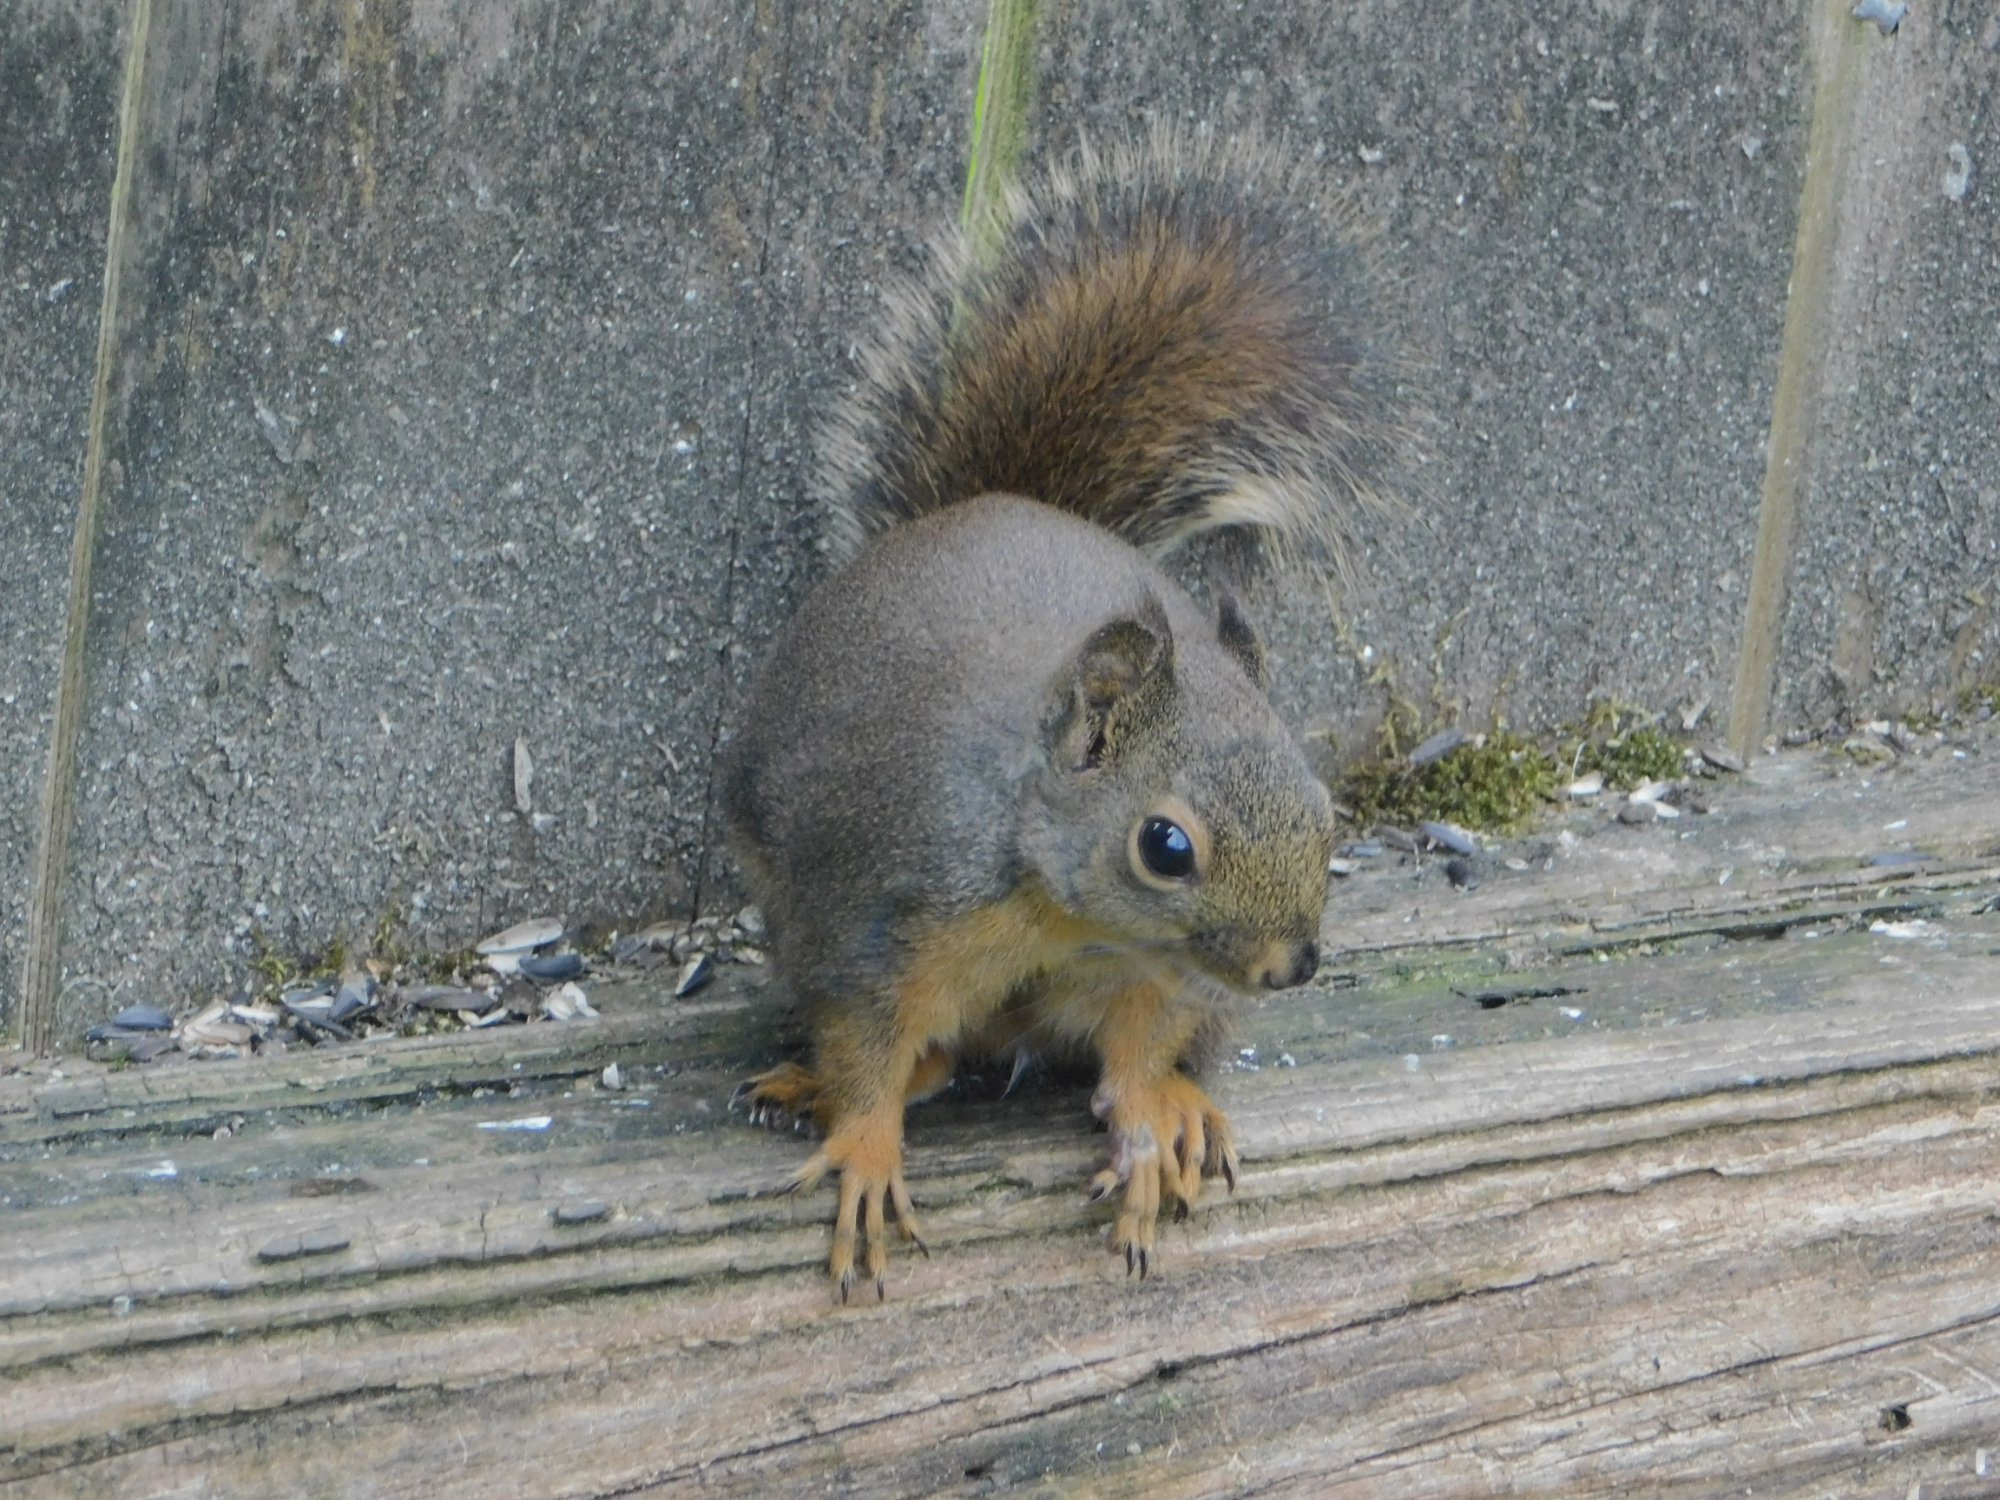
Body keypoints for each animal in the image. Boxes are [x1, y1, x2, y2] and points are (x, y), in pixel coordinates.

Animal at [723, 128, 1407, 1301]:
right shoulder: (873, 913)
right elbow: (865, 1045)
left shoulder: (1156, 979)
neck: (1064, 915)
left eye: (1327, 816)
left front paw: (1146, 1128)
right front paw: (861, 1144)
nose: (1291, 967)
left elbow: (1133, 1056)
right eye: (1165, 846)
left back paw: (1187, 1104)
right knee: (930, 1053)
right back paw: (814, 1086)